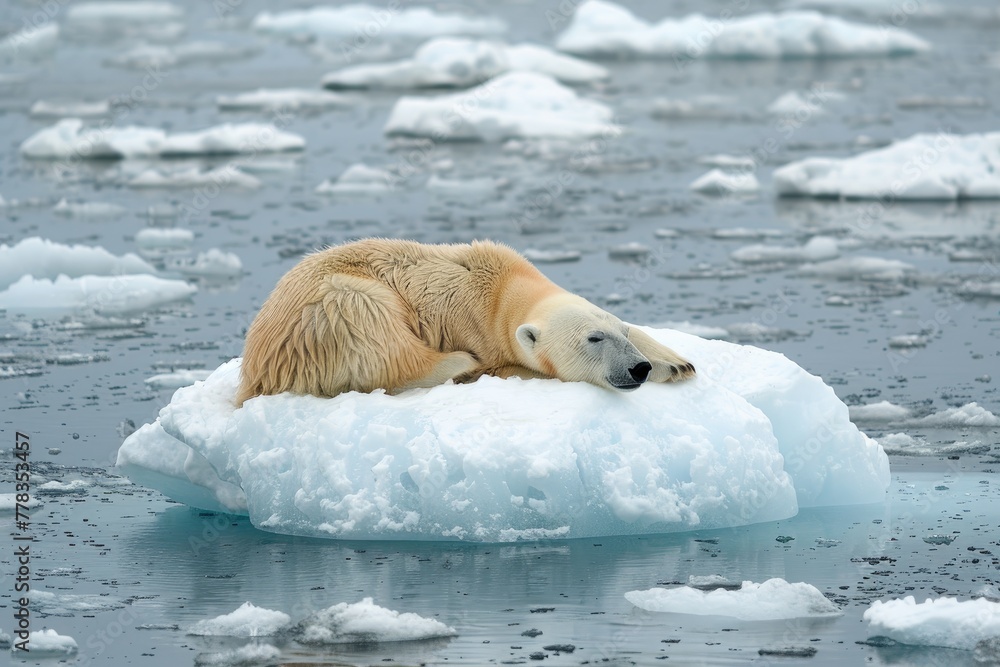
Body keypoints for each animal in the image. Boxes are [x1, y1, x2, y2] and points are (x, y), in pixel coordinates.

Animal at [235, 238, 695, 405]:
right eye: (594, 339)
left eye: (621, 333)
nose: (638, 368)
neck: (501, 289)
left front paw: (675, 362)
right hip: (333, 308)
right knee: (384, 343)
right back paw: (460, 365)